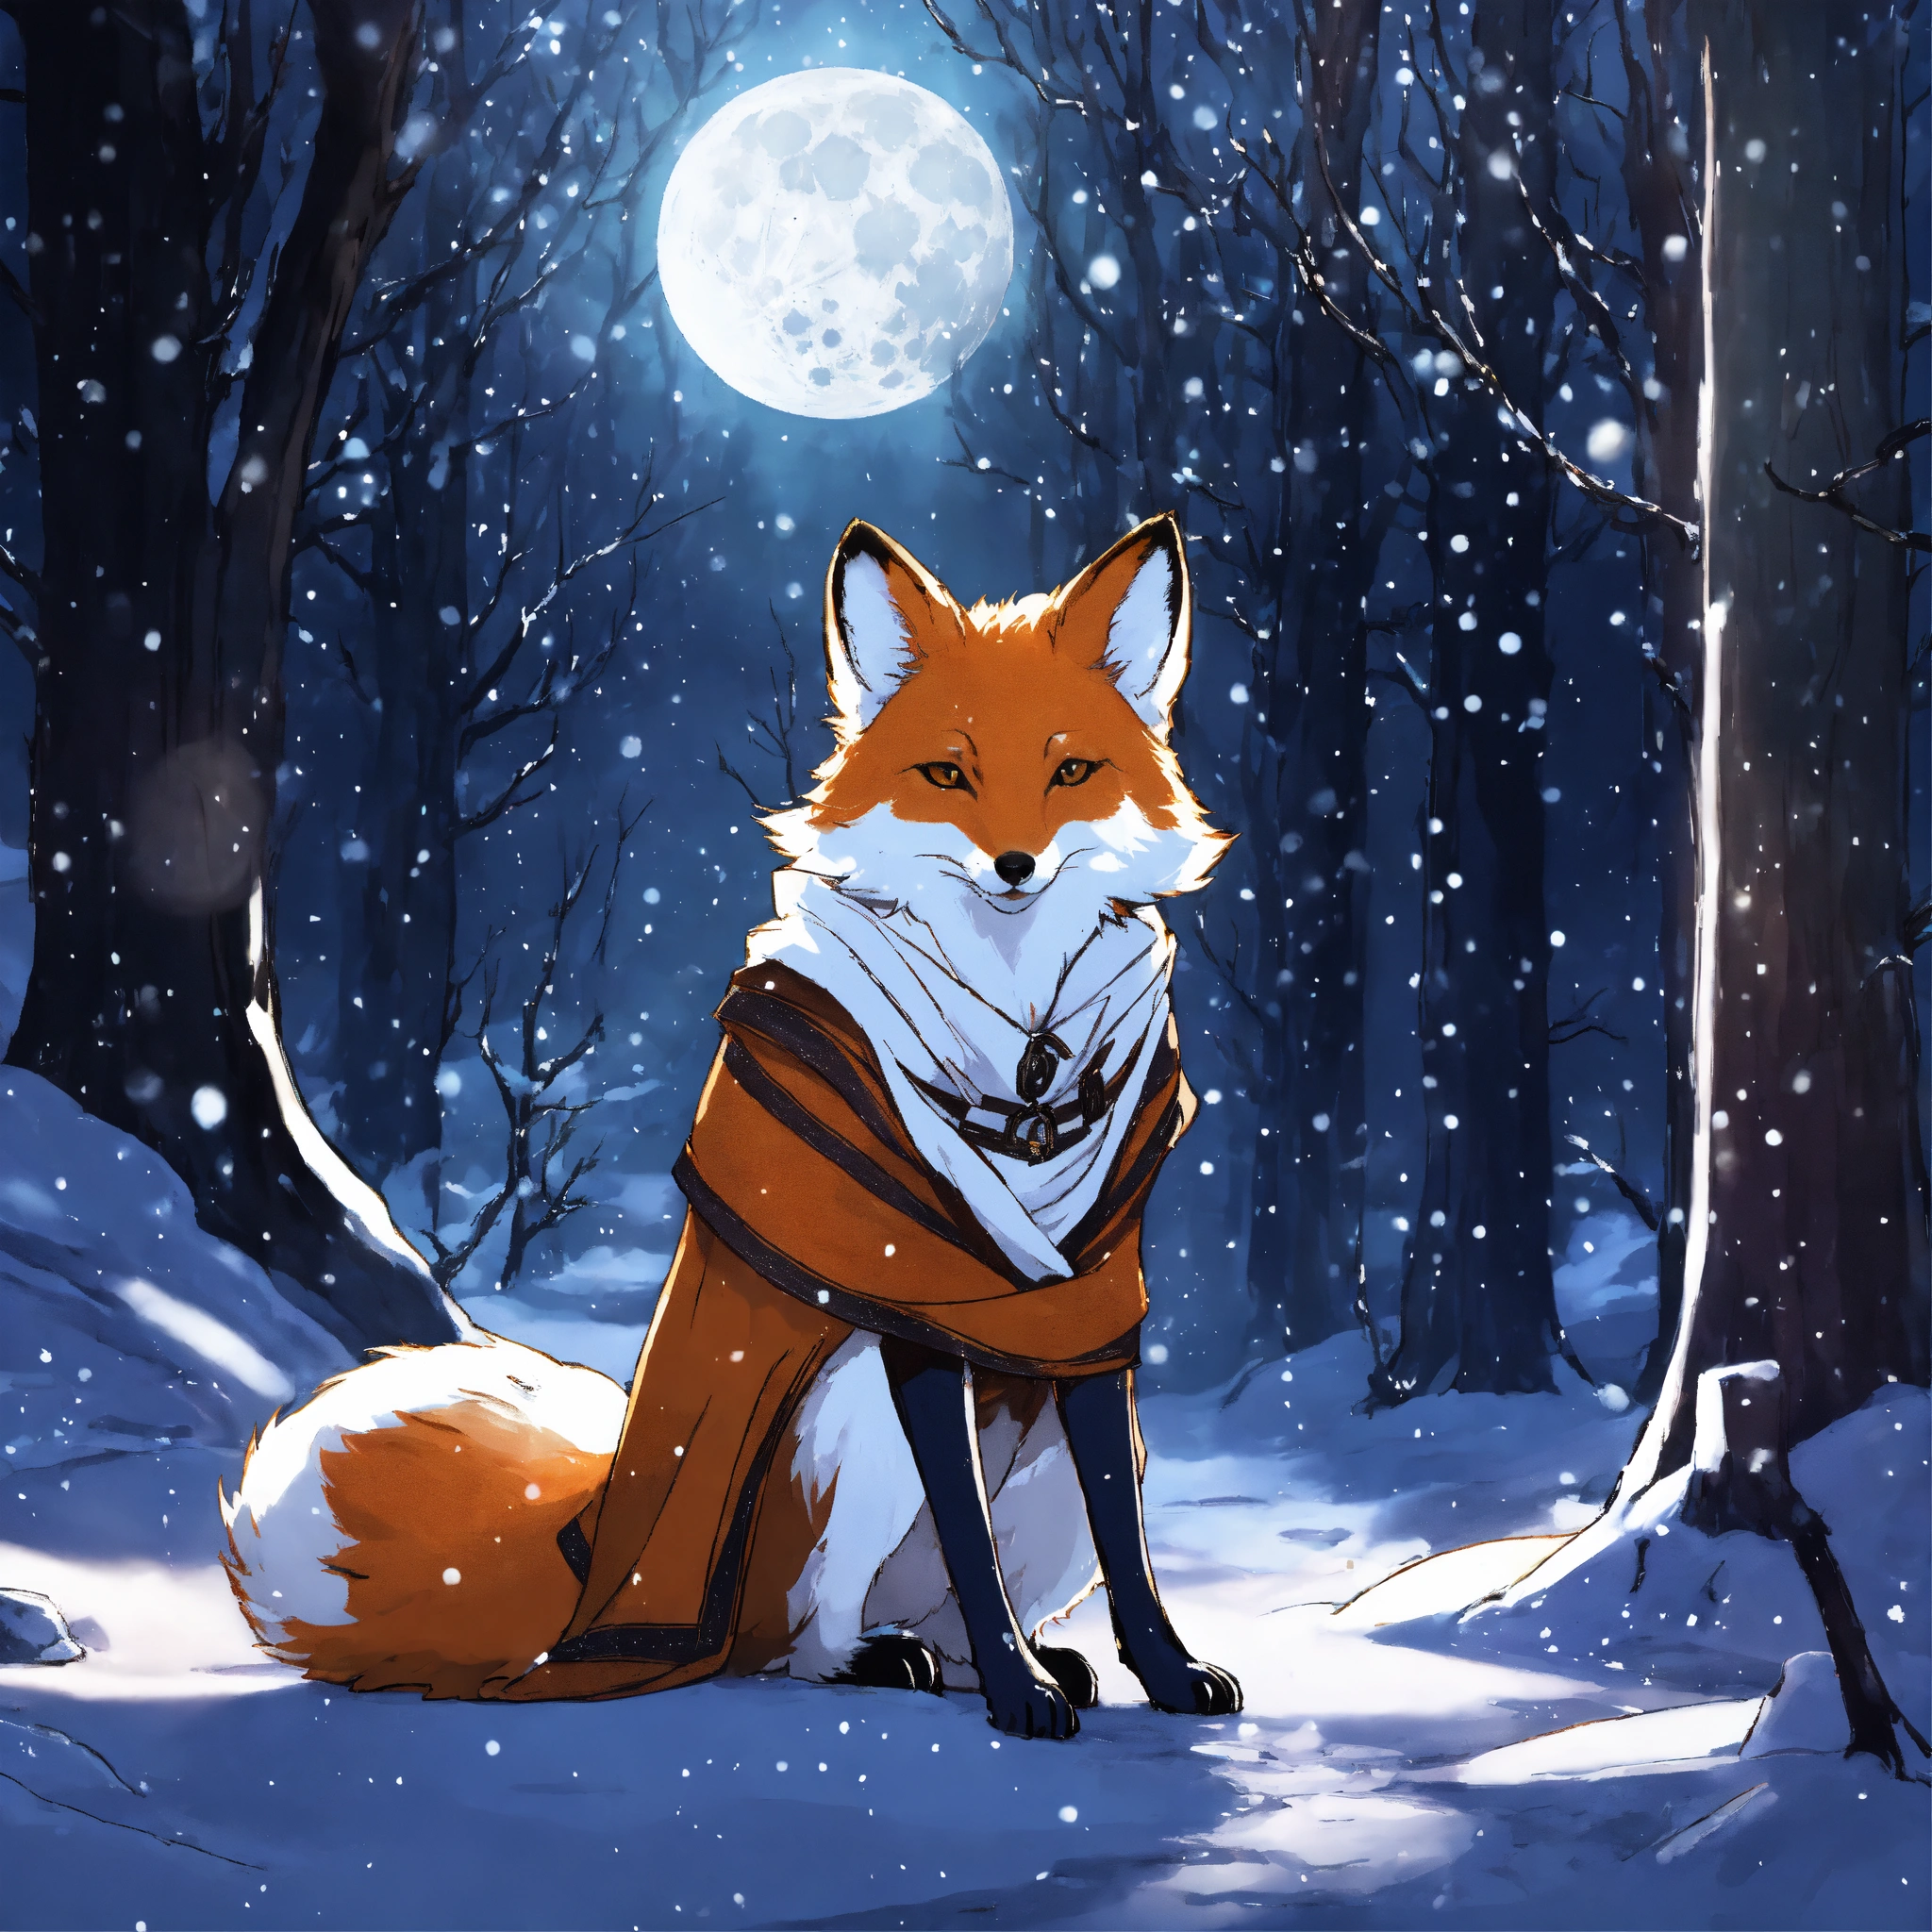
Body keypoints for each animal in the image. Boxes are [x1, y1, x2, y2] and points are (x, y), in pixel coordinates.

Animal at [221, 512, 1240, 1740]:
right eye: (948, 774)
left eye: (1070, 771)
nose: (1014, 865)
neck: (1017, 1061)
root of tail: (587, 1556)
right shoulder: (909, 1316)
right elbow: (969, 1535)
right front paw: (1018, 1692)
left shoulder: (1086, 1323)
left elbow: (1125, 1544)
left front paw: (1165, 1672)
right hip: (844, 1421)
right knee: (794, 1643)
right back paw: (890, 1660)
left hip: (1034, 1452)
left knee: (965, 1594)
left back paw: (1010, 1661)